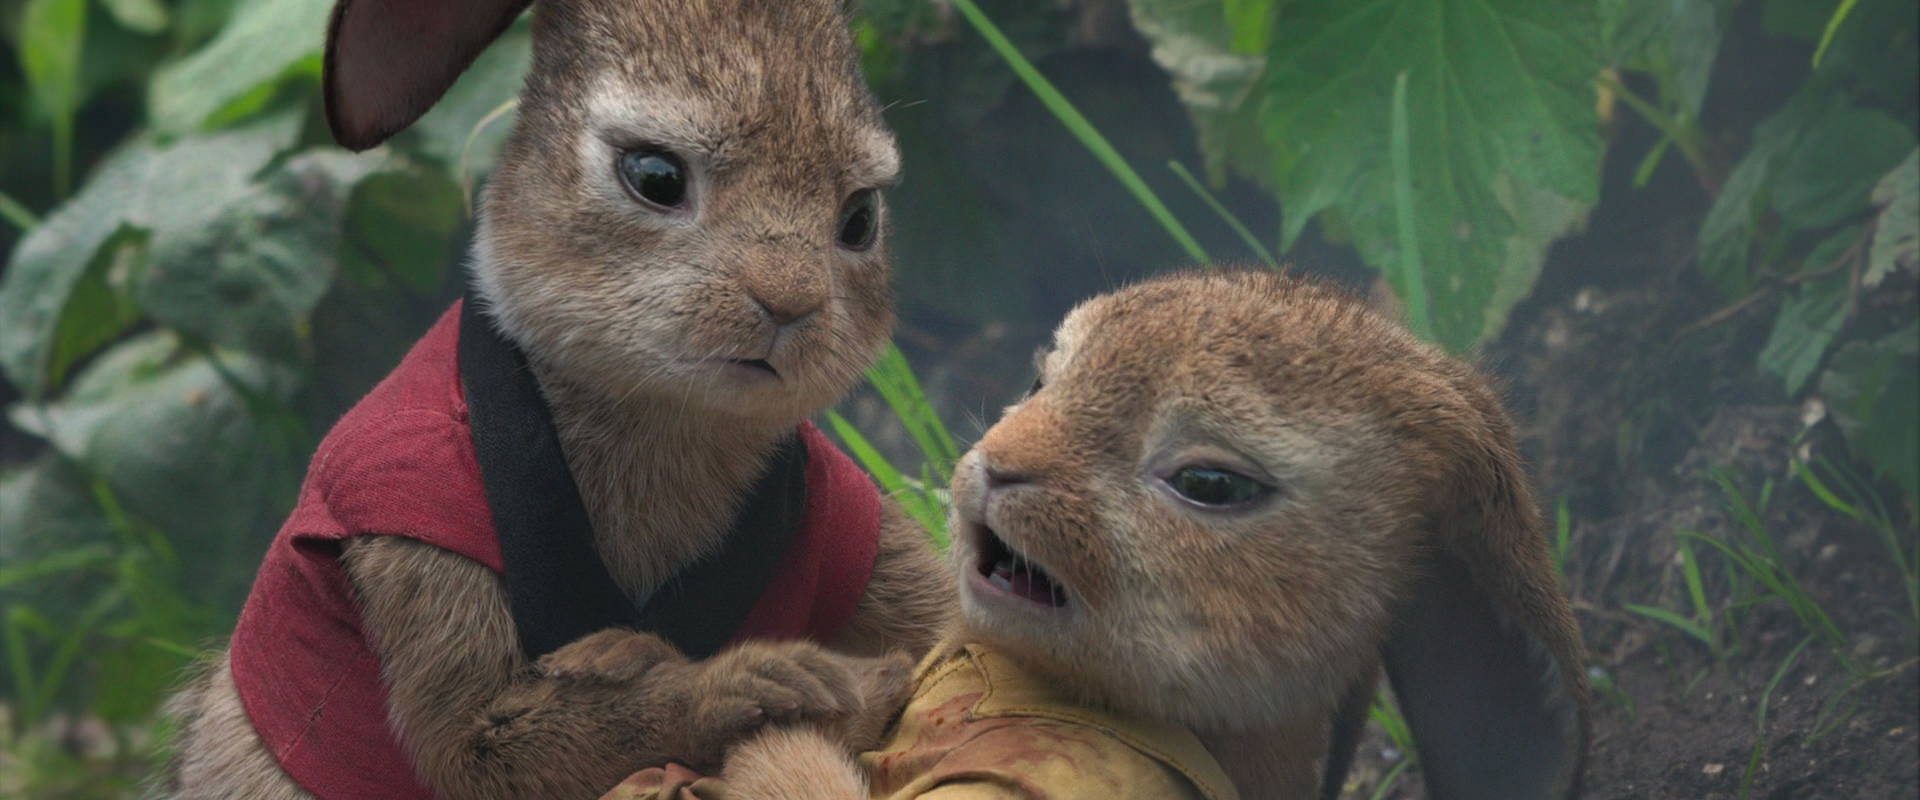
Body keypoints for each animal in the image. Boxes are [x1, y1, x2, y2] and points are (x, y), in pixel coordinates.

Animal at [158, 0, 952, 798]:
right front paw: (792, 679)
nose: (789, 302)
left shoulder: (849, 517)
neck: (662, 415)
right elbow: (488, 747)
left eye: (860, 216)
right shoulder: (416, 529)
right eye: (654, 175)